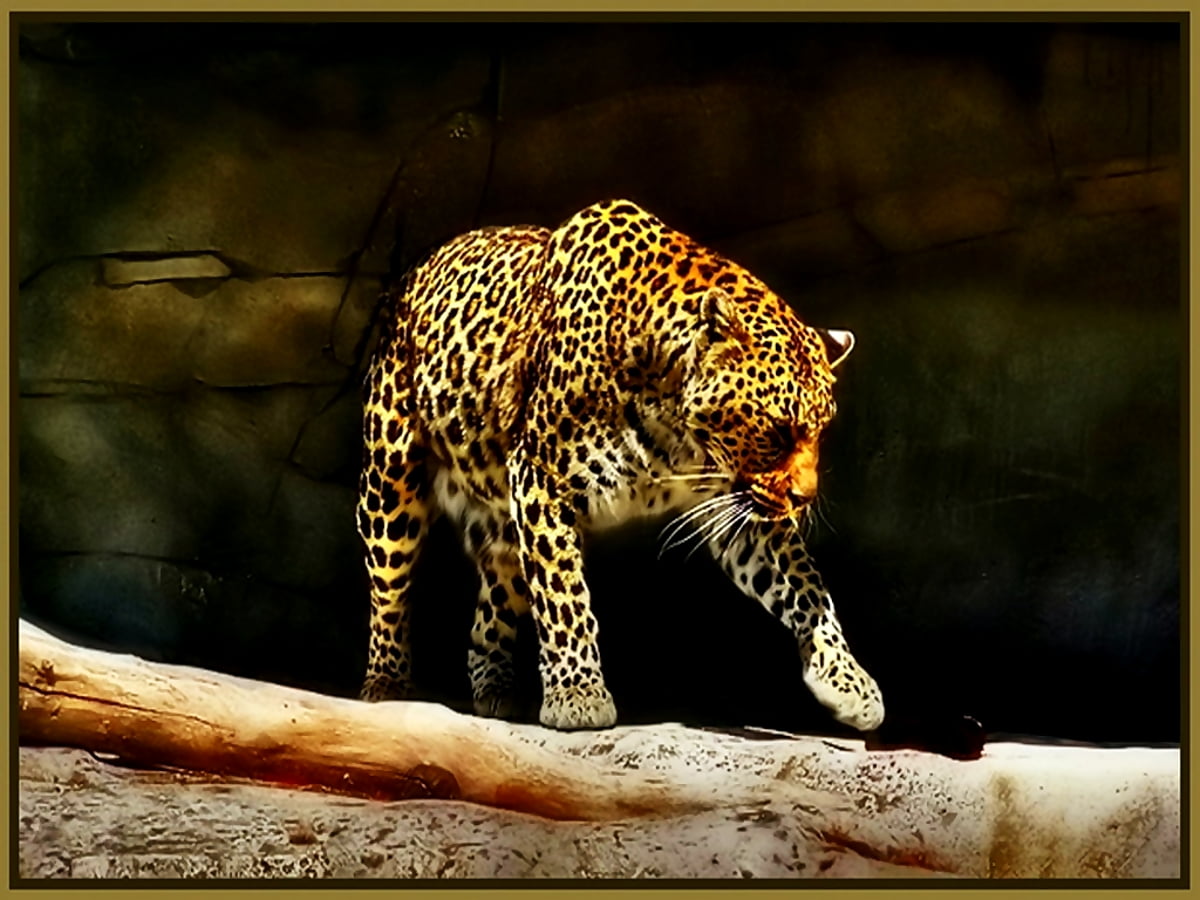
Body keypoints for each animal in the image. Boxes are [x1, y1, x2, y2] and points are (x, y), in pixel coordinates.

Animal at [356, 198, 885, 732]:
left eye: (820, 430)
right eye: (779, 430)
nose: (804, 498)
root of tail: (415, 270)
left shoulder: (741, 504)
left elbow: (805, 585)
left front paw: (847, 680)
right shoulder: (542, 480)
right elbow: (564, 595)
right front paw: (579, 696)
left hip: (505, 521)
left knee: (494, 602)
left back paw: (497, 688)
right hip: (390, 485)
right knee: (389, 589)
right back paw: (386, 684)